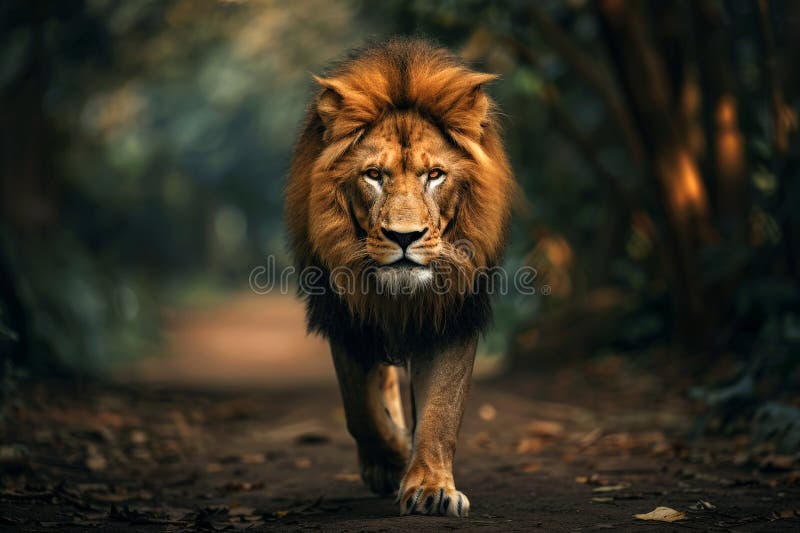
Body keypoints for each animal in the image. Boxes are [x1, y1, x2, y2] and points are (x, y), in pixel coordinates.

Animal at [285, 38, 514, 517]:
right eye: (374, 175)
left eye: (435, 175)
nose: (404, 237)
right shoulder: (347, 317)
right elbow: (361, 410)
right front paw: (390, 460)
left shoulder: (452, 313)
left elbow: (441, 409)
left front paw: (429, 487)